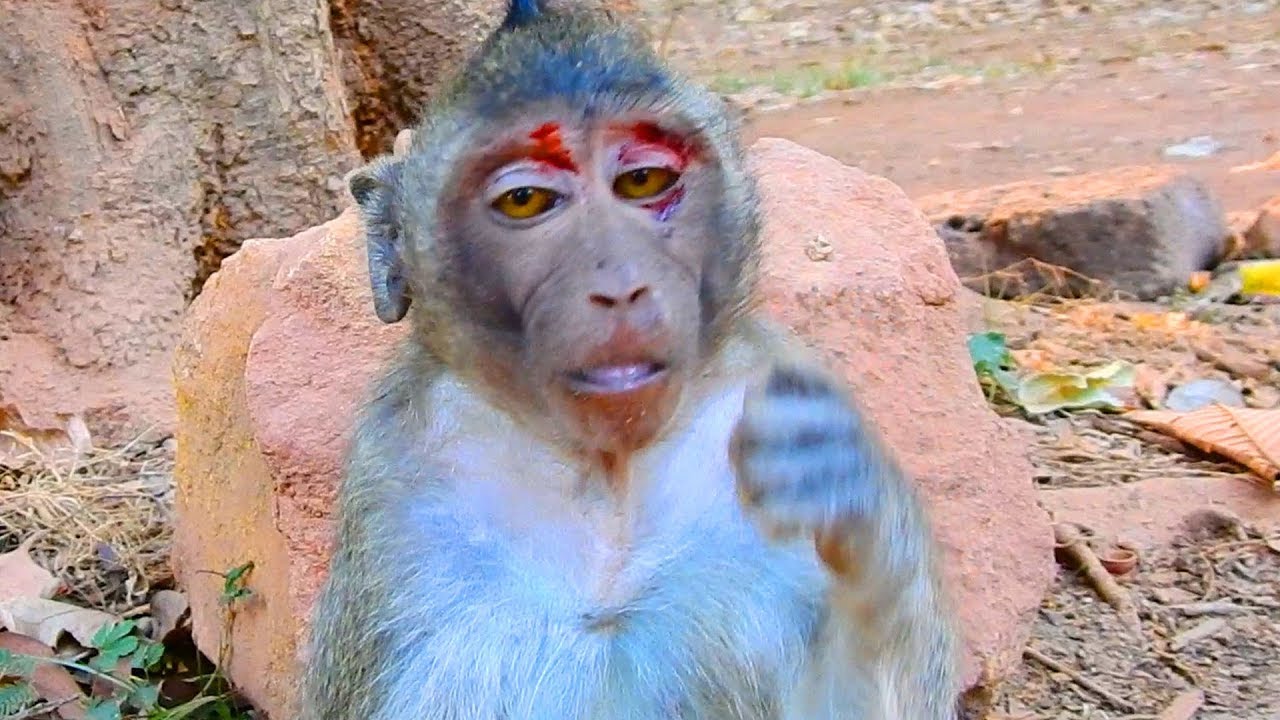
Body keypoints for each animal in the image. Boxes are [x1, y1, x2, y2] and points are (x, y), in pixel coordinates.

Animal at [299, 1, 960, 718]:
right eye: (526, 200)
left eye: (643, 180)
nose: (619, 284)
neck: (608, 475)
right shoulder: (396, 498)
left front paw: (855, 511)